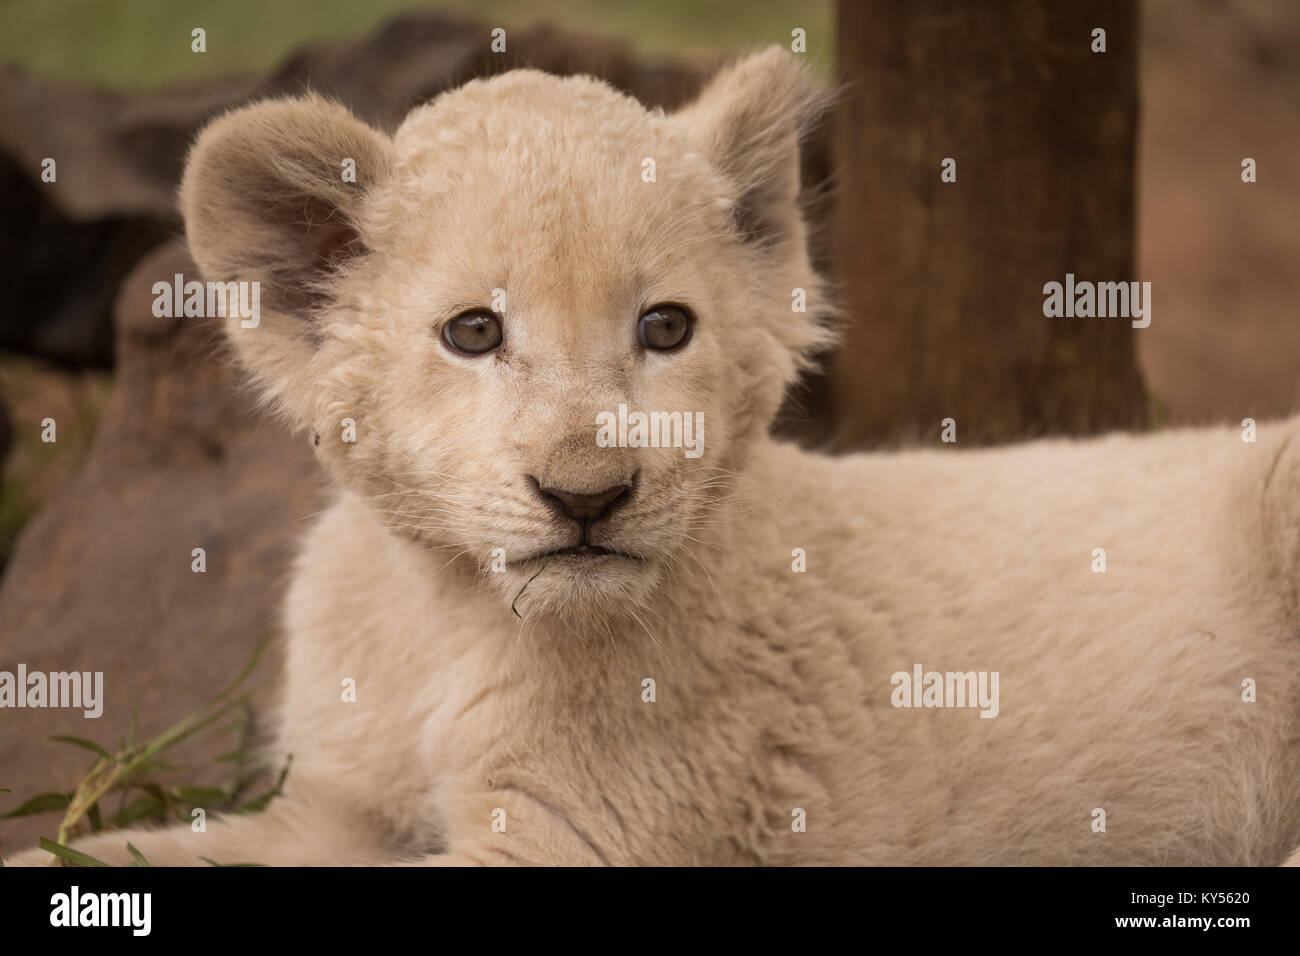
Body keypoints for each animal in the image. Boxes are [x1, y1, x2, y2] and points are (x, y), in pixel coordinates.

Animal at [12, 47, 1300, 866]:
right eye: (473, 333)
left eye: (665, 327)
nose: (587, 496)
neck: (447, 611)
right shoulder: (333, 807)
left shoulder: (587, 832)